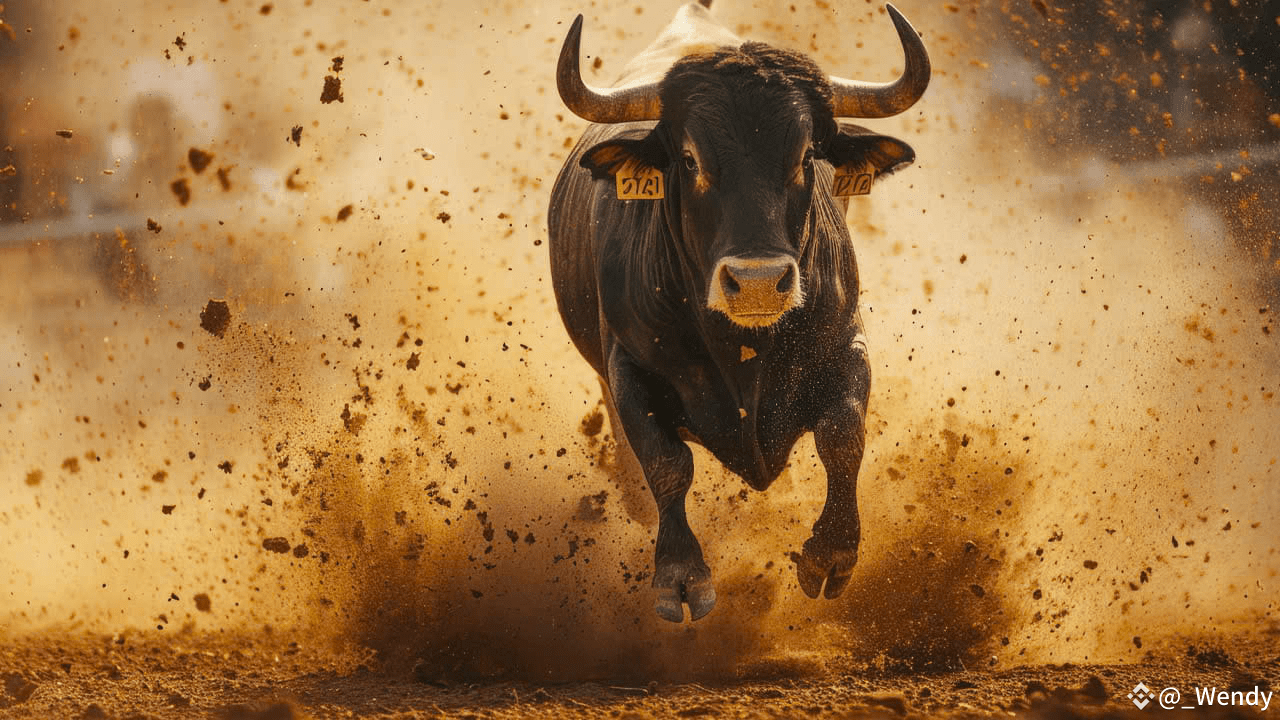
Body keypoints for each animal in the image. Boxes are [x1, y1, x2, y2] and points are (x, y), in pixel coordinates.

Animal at [547, 1, 929, 622]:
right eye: (689, 159)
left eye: (806, 156)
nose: (755, 284)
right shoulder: (628, 366)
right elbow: (666, 461)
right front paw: (681, 575)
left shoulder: (846, 343)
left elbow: (843, 434)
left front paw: (831, 554)